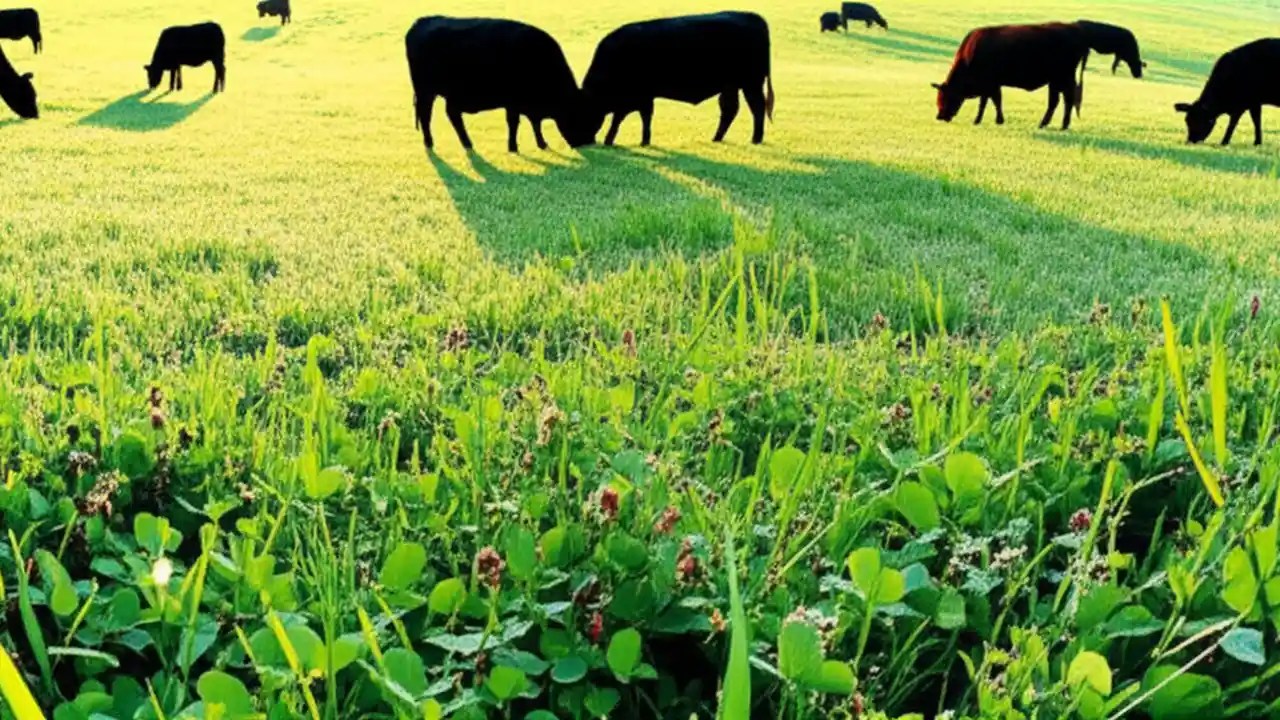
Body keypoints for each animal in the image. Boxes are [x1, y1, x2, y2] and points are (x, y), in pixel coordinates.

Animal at [405, 16, 596, 153]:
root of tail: (419, 22)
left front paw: (542, 143)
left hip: (446, 95)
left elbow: (535, 123)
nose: (587, 142)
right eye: (579, 114)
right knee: (426, 115)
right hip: (426, 92)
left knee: (451, 114)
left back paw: (466, 144)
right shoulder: (513, 103)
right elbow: (514, 123)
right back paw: (430, 143)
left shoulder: (527, 106)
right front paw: (513, 147)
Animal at [582, 12, 775, 146]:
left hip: (751, 83)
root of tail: (753, 16)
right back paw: (717, 138)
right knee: (730, 109)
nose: (583, 141)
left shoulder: (636, 96)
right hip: (732, 86)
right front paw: (643, 141)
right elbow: (643, 116)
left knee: (757, 107)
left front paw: (612, 140)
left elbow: (622, 117)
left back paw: (755, 139)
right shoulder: (642, 97)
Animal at [933, 23, 1089, 130]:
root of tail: (1074, 29)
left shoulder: (991, 84)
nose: (939, 116)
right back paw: (1050, 124)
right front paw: (979, 120)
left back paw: (1061, 125)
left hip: (1063, 78)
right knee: (1057, 101)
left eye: (945, 97)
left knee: (1066, 99)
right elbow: (986, 102)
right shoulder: (988, 86)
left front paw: (997, 120)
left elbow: (995, 101)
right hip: (1056, 81)